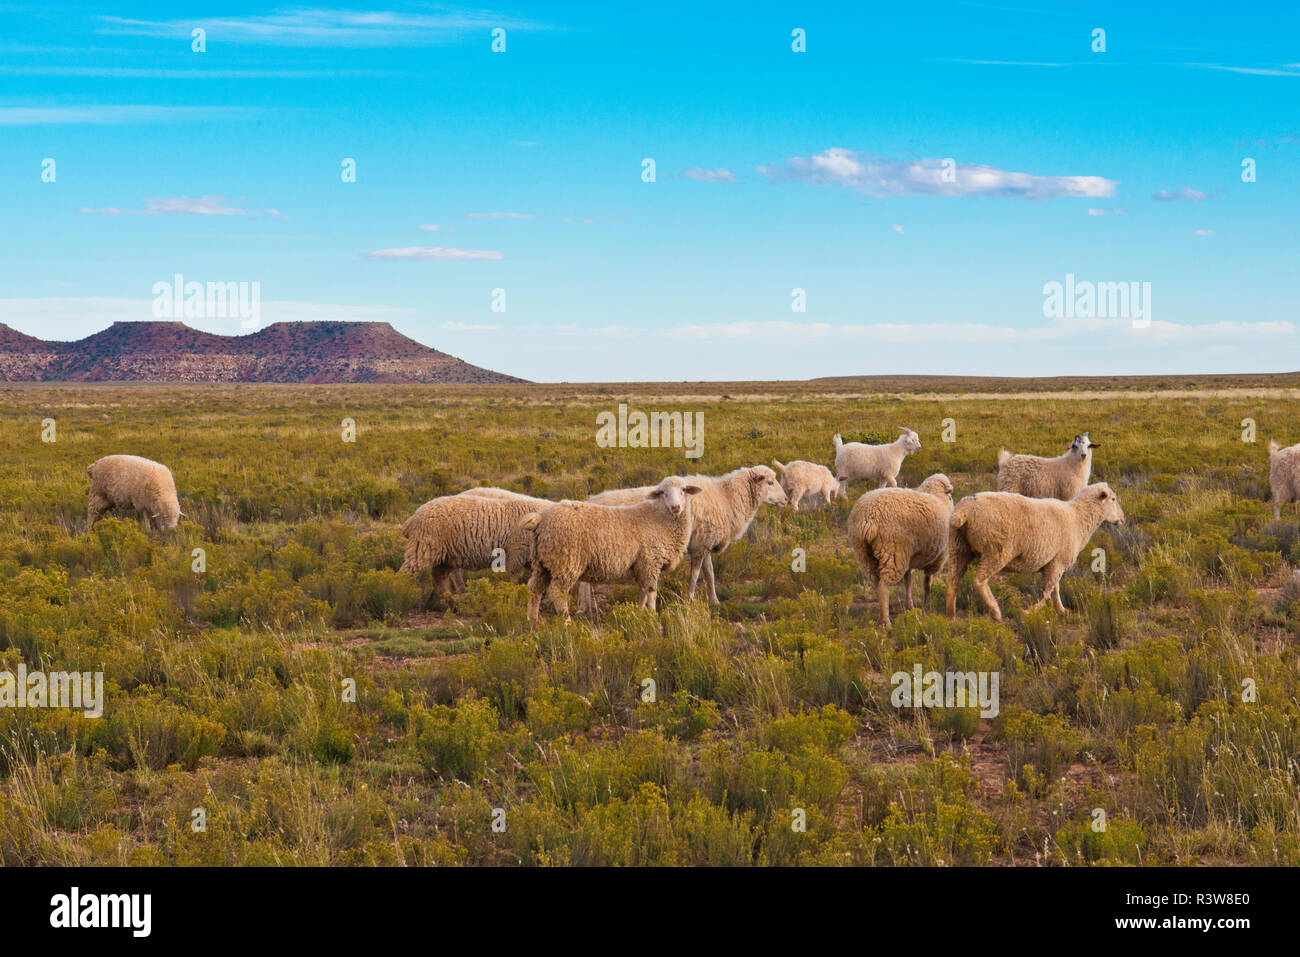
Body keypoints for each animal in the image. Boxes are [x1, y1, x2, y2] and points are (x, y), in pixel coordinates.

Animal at [400, 489, 552, 594]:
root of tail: (412, 519)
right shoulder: (516, 553)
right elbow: (514, 579)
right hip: (423, 548)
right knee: (405, 573)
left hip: (446, 555)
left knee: (439, 580)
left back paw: (454, 601)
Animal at [523, 476, 702, 623]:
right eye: (663, 493)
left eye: (683, 490)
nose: (676, 507)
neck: (660, 519)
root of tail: (541, 518)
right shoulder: (651, 561)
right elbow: (652, 592)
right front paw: (653, 616)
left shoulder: (642, 565)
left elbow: (643, 591)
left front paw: (640, 613)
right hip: (566, 560)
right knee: (557, 592)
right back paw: (566, 623)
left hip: (542, 562)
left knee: (534, 589)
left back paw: (532, 622)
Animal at [588, 465, 787, 603]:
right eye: (770, 482)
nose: (786, 499)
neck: (726, 498)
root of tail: (591, 499)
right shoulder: (699, 546)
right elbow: (695, 575)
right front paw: (690, 599)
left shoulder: (705, 543)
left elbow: (710, 574)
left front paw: (714, 601)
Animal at [848, 473, 954, 627]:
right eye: (950, 496)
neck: (937, 496)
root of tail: (867, 519)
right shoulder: (937, 557)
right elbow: (927, 582)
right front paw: (926, 605)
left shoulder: (908, 556)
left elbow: (908, 579)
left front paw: (909, 606)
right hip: (892, 551)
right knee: (883, 586)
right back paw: (886, 621)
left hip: (864, 554)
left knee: (875, 583)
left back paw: (888, 608)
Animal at [945, 483, 1125, 622]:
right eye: (1113, 499)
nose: (1122, 518)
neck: (1078, 517)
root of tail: (964, 510)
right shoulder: (1058, 561)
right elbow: (1048, 590)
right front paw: (1029, 611)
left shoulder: (1053, 561)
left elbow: (1055, 588)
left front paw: (1061, 610)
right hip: (996, 550)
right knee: (979, 581)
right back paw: (995, 611)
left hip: (959, 547)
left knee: (953, 581)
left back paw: (951, 616)